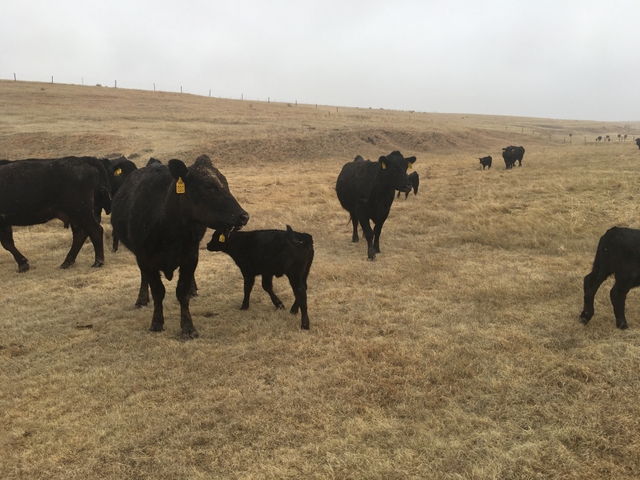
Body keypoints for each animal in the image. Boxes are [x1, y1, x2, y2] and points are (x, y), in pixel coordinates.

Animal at [110, 154, 249, 339]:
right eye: (209, 186)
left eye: (226, 183)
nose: (244, 216)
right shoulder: (145, 259)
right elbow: (158, 291)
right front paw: (156, 323)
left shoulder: (190, 256)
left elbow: (182, 292)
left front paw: (188, 327)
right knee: (144, 277)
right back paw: (141, 299)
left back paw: (193, 289)